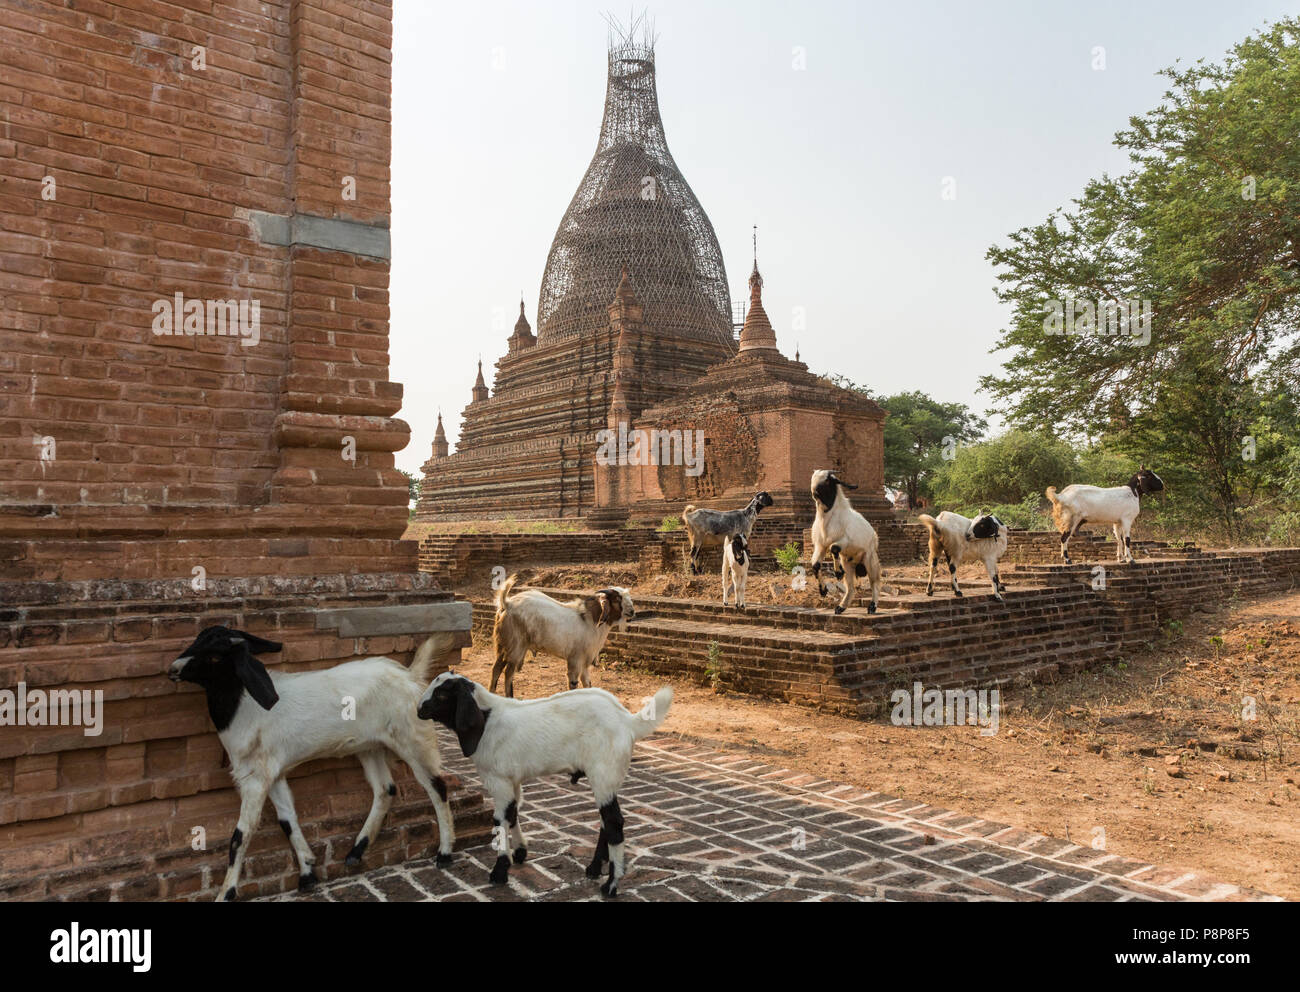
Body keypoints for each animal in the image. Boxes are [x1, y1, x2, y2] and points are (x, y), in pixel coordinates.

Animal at [167, 626, 457, 901]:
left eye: (215, 655)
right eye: (197, 640)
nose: (173, 670)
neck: (244, 705)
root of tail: (410, 676)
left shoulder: (255, 777)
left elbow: (241, 834)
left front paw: (225, 893)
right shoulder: (274, 774)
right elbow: (287, 819)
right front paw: (307, 873)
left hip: (412, 738)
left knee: (437, 786)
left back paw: (444, 853)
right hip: (369, 747)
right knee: (385, 789)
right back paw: (356, 851)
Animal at [417, 674, 672, 897]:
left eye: (442, 694)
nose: (419, 709)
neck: (487, 720)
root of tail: (627, 721)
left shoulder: (499, 780)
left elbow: (500, 820)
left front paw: (499, 872)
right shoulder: (512, 780)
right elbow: (513, 813)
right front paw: (520, 852)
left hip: (604, 773)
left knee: (614, 823)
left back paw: (610, 886)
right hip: (606, 779)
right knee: (605, 821)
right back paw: (593, 869)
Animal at [491, 574, 634, 697]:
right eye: (617, 598)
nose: (632, 611)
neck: (589, 621)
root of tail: (507, 603)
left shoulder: (585, 662)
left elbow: (587, 683)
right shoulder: (575, 659)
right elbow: (573, 683)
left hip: (503, 645)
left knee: (496, 668)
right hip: (516, 646)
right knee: (508, 673)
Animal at [809, 469, 882, 614]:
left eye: (827, 480)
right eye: (813, 477)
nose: (814, 492)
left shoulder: (847, 541)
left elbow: (834, 548)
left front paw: (837, 572)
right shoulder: (820, 546)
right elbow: (816, 565)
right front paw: (823, 590)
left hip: (870, 559)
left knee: (874, 583)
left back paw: (872, 607)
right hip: (849, 563)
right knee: (851, 588)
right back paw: (840, 607)